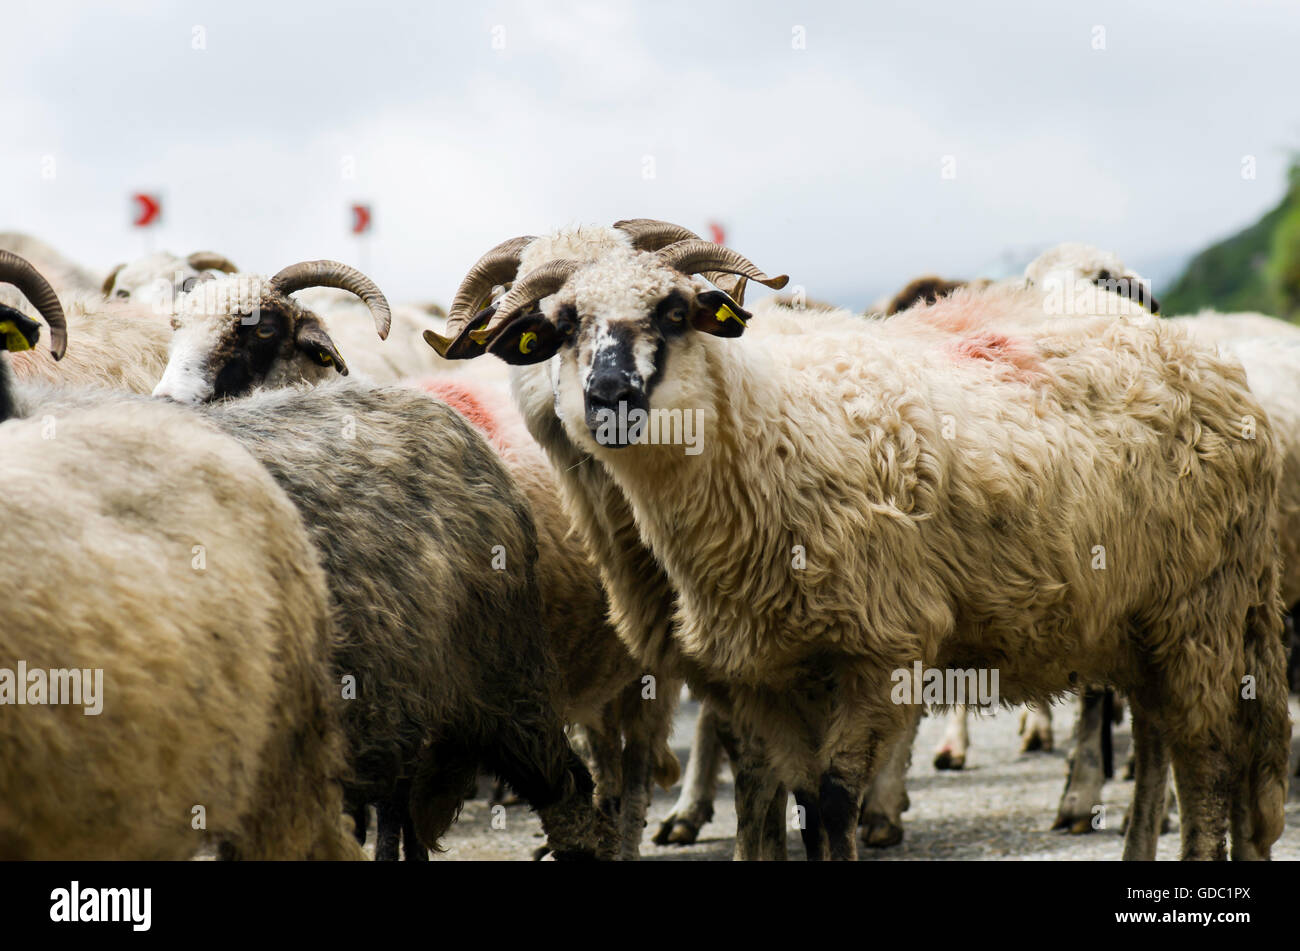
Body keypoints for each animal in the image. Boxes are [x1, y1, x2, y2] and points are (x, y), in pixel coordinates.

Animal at [433, 225, 1289, 861]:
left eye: (676, 311)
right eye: (560, 326)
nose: (607, 395)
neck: (766, 427)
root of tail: (1204, 355)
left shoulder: (880, 650)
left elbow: (836, 801)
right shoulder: (761, 674)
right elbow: (802, 801)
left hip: (1202, 609)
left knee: (1207, 762)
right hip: (1142, 619)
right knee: (1162, 742)